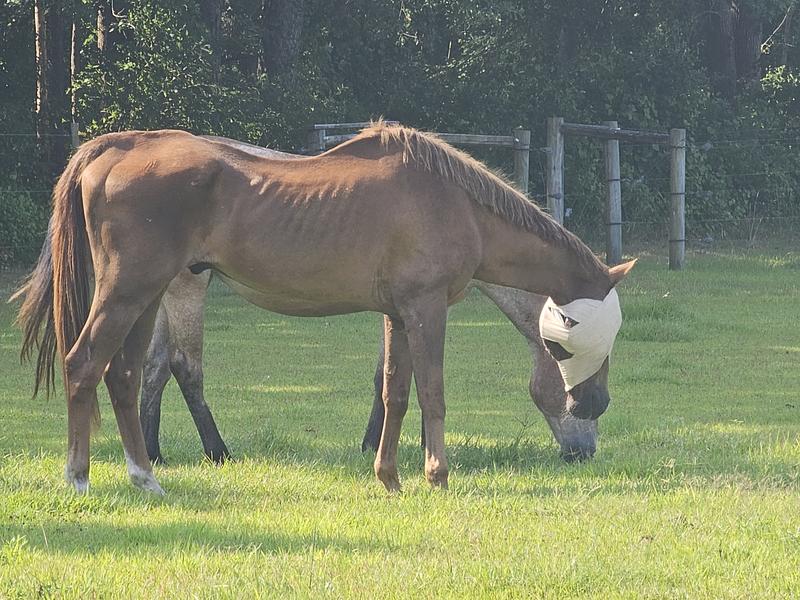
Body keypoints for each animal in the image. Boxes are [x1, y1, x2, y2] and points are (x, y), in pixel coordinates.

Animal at [14, 122, 634, 494]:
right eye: (566, 343)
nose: (594, 408)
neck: (455, 204)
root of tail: (119, 145)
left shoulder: (397, 313)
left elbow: (395, 391)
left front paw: (388, 477)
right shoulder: (427, 308)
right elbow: (431, 393)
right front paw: (436, 476)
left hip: (146, 298)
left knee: (125, 375)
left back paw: (146, 476)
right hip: (130, 292)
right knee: (87, 365)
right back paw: (81, 478)